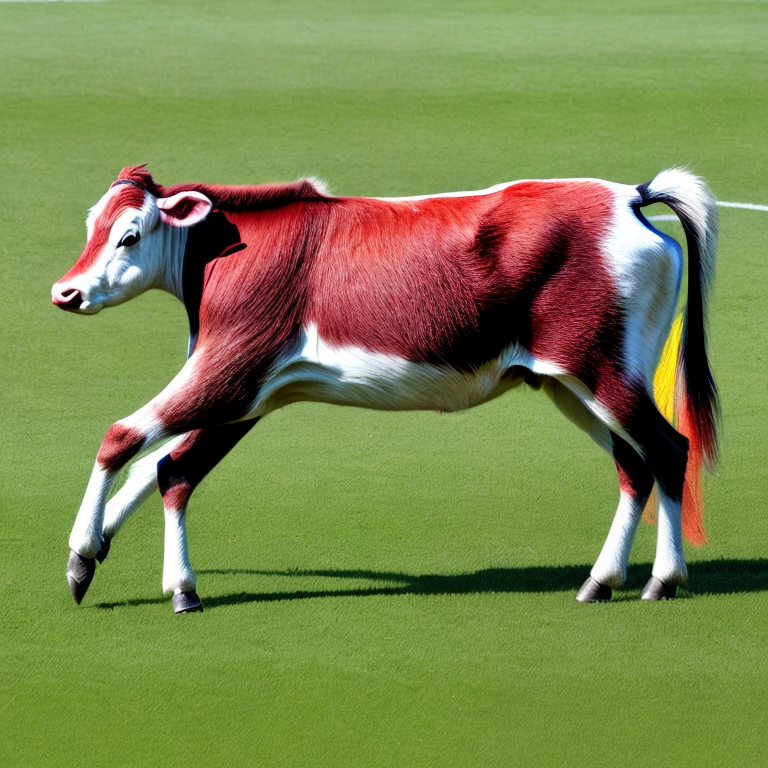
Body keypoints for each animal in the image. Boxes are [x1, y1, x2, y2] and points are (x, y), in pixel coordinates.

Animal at [52, 165, 718, 613]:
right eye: (92, 226)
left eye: (130, 234)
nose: (67, 292)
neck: (234, 246)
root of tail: (629, 196)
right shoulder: (252, 397)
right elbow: (166, 467)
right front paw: (100, 560)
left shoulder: (228, 371)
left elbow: (128, 442)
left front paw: (98, 562)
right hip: (572, 386)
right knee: (635, 463)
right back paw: (599, 582)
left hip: (602, 375)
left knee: (669, 449)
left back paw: (661, 581)